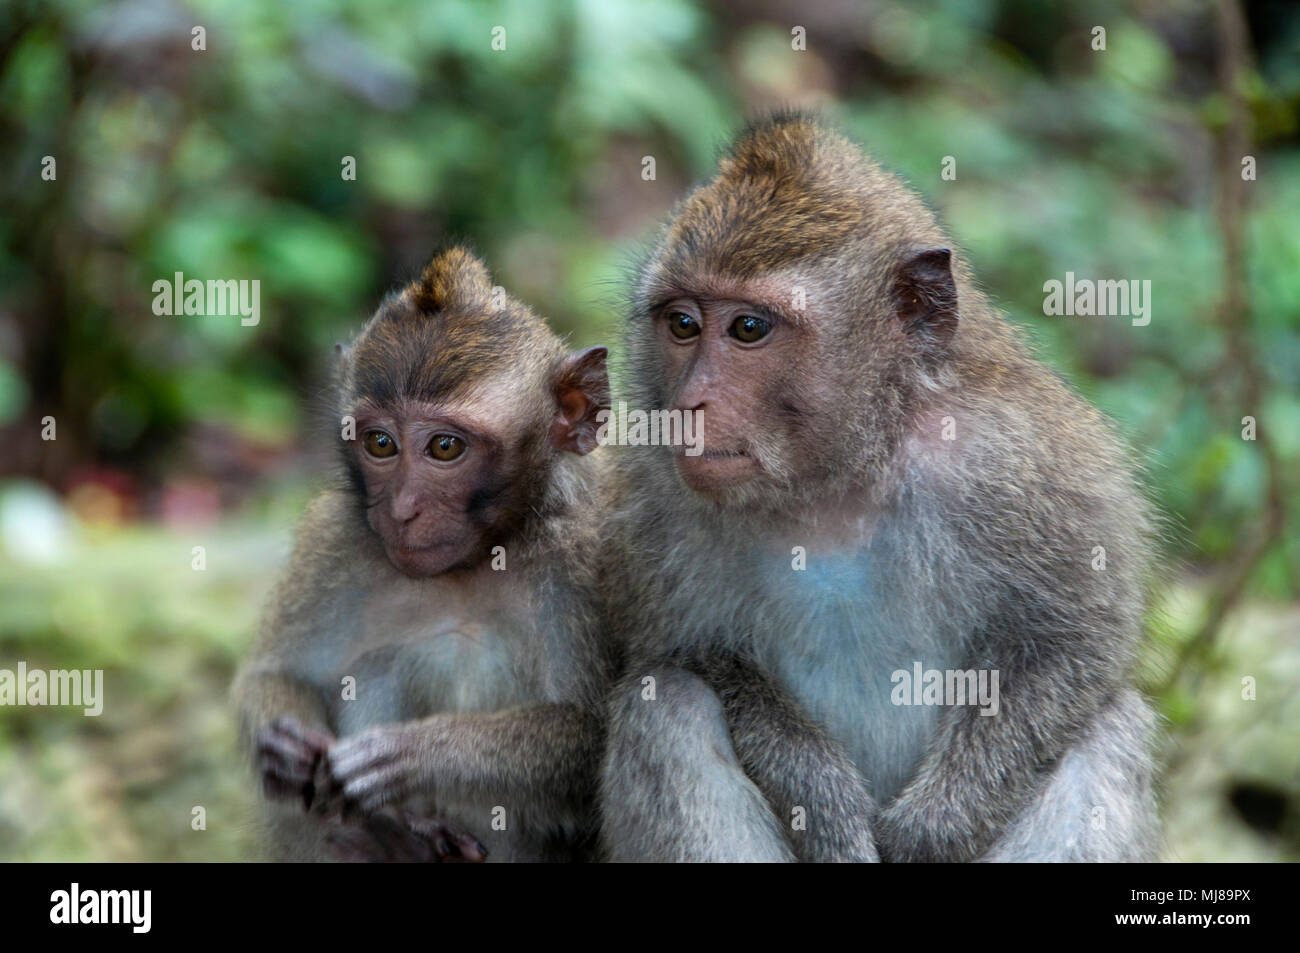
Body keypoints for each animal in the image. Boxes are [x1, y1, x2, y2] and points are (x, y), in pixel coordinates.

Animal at [232, 246, 613, 862]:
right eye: (380, 443)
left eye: (445, 447)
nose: (403, 508)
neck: (480, 559)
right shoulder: (334, 539)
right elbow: (273, 674)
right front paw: (285, 749)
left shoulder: (586, 552)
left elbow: (592, 734)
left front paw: (416, 755)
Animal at [598, 112, 1159, 863]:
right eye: (683, 323)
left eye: (748, 328)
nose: (689, 406)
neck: (839, 479)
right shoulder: (650, 499)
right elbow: (689, 657)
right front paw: (821, 799)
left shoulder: (1022, 462)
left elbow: (1073, 643)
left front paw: (931, 830)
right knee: (667, 706)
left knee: (1106, 728)